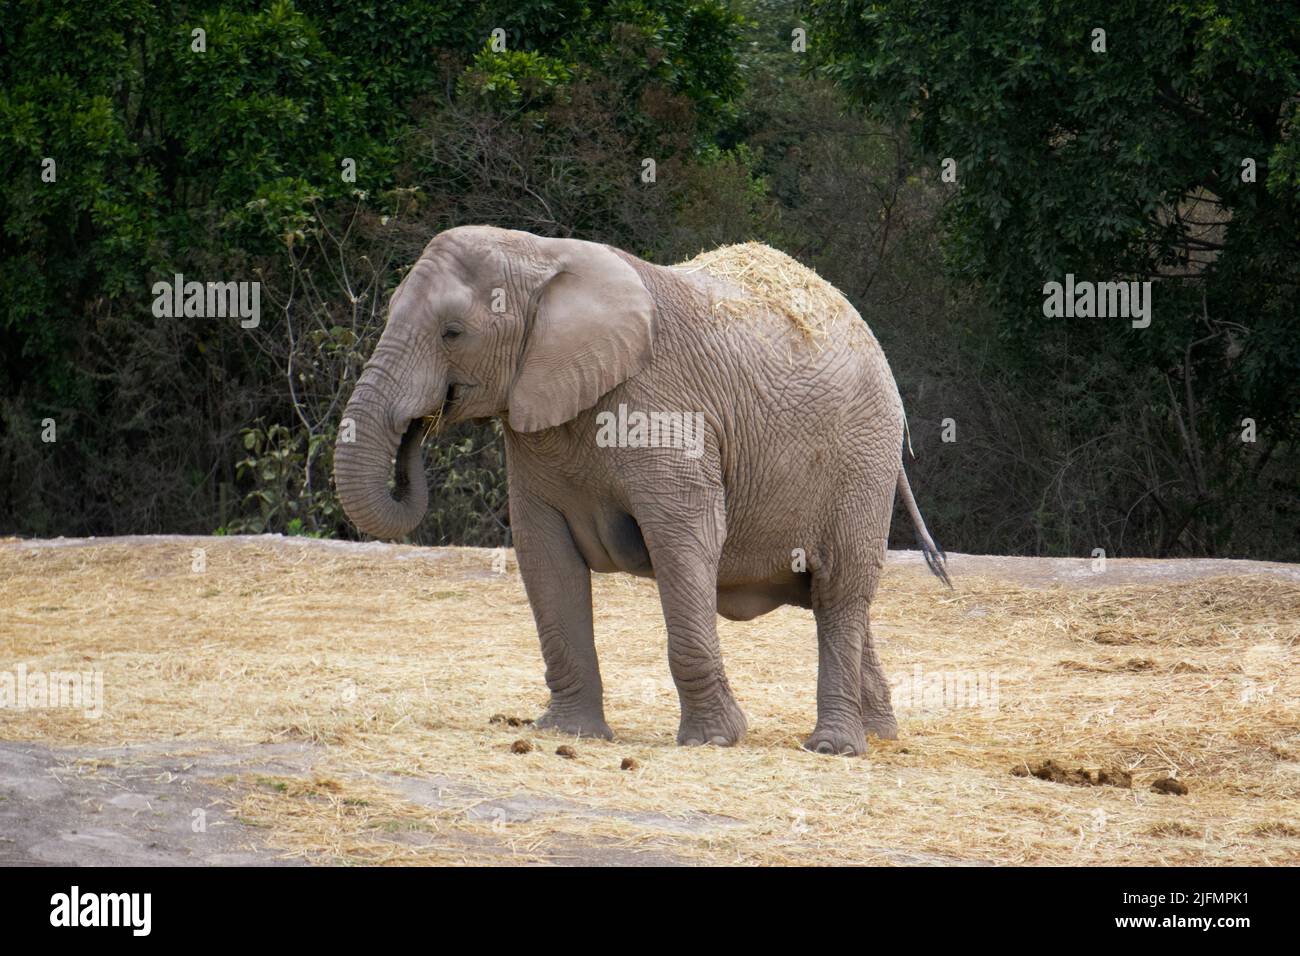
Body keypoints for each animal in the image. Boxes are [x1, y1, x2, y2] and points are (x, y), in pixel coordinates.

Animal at [333, 225, 949, 756]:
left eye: (452, 333)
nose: (422, 424)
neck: (540, 256)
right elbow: (544, 556)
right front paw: (569, 733)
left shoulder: (665, 415)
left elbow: (686, 542)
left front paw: (715, 741)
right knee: (833, 599)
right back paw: (882, 734)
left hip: (863, 462)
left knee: (841, 588)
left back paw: (834, 748)